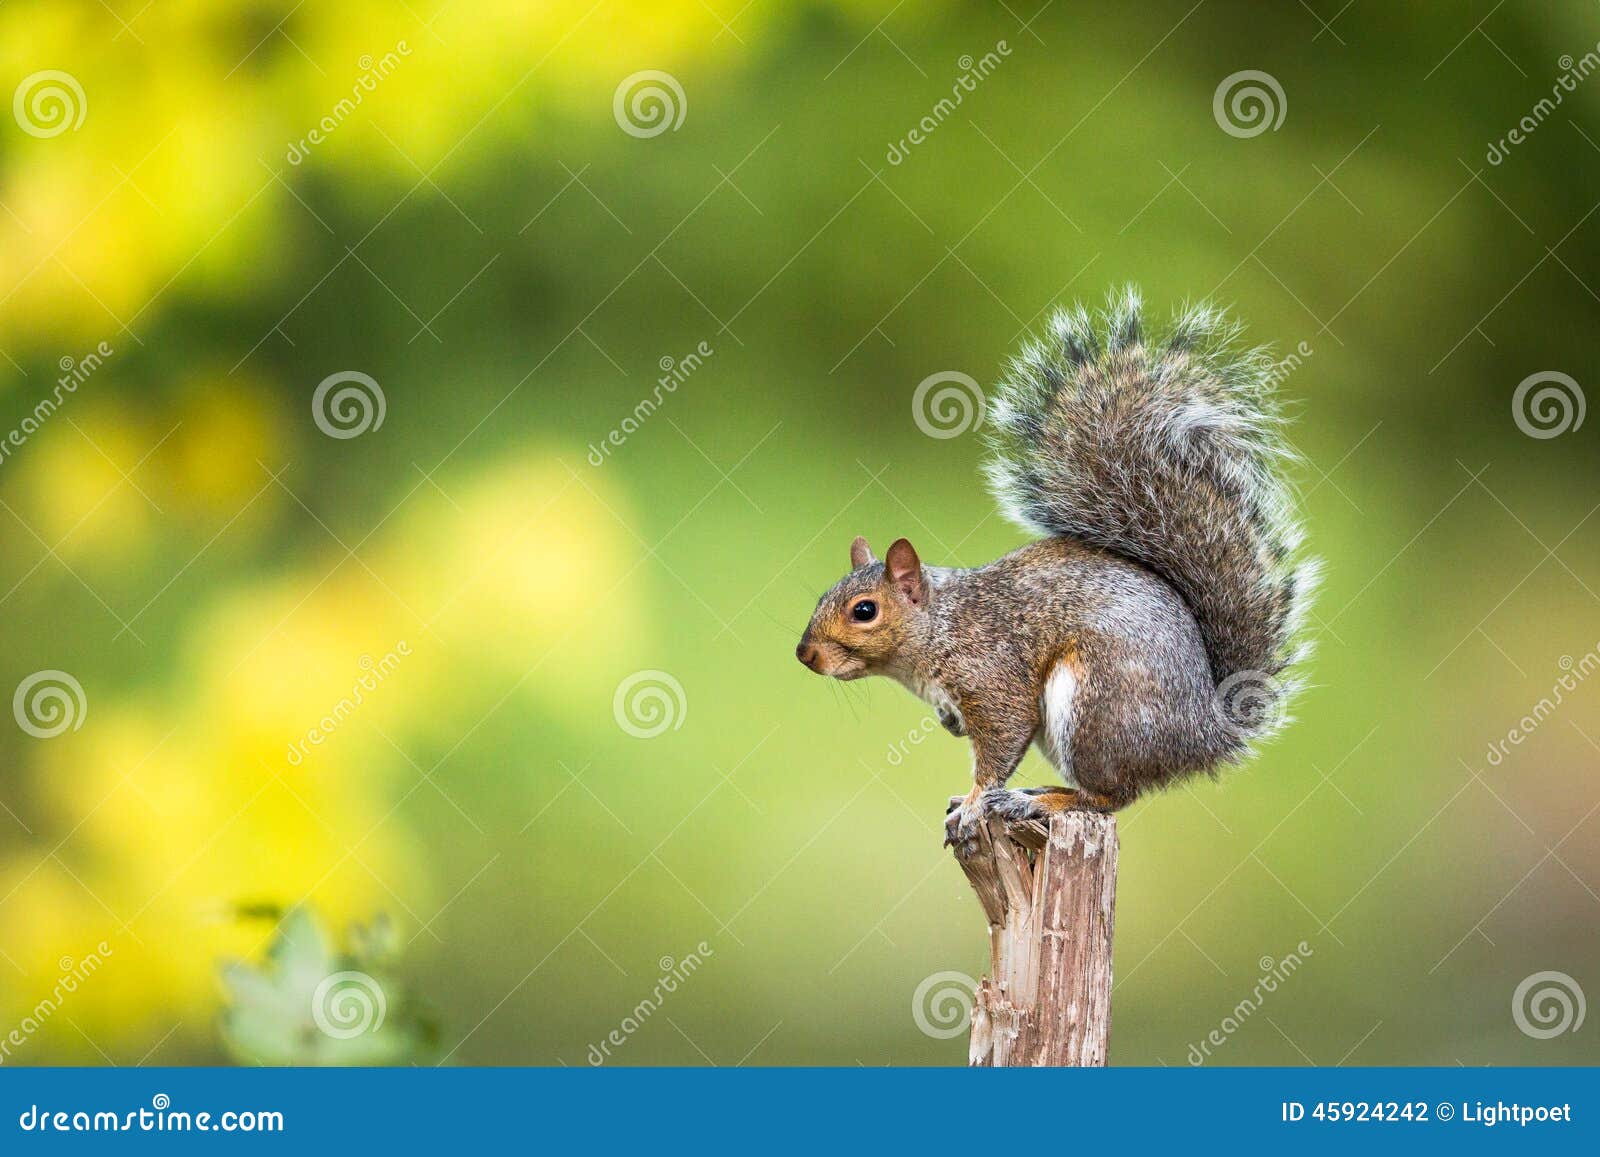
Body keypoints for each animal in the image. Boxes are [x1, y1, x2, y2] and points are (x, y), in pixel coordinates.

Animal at [795, 288, 1318, 848]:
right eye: (825, 596)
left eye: (864, 611)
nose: (805, 655)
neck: (941, 627)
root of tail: (1203, 736)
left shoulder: (993, 676)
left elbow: (1000, 745)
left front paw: (974, 804)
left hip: (1094, 709)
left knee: (1111, 796)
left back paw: (1038, 800)